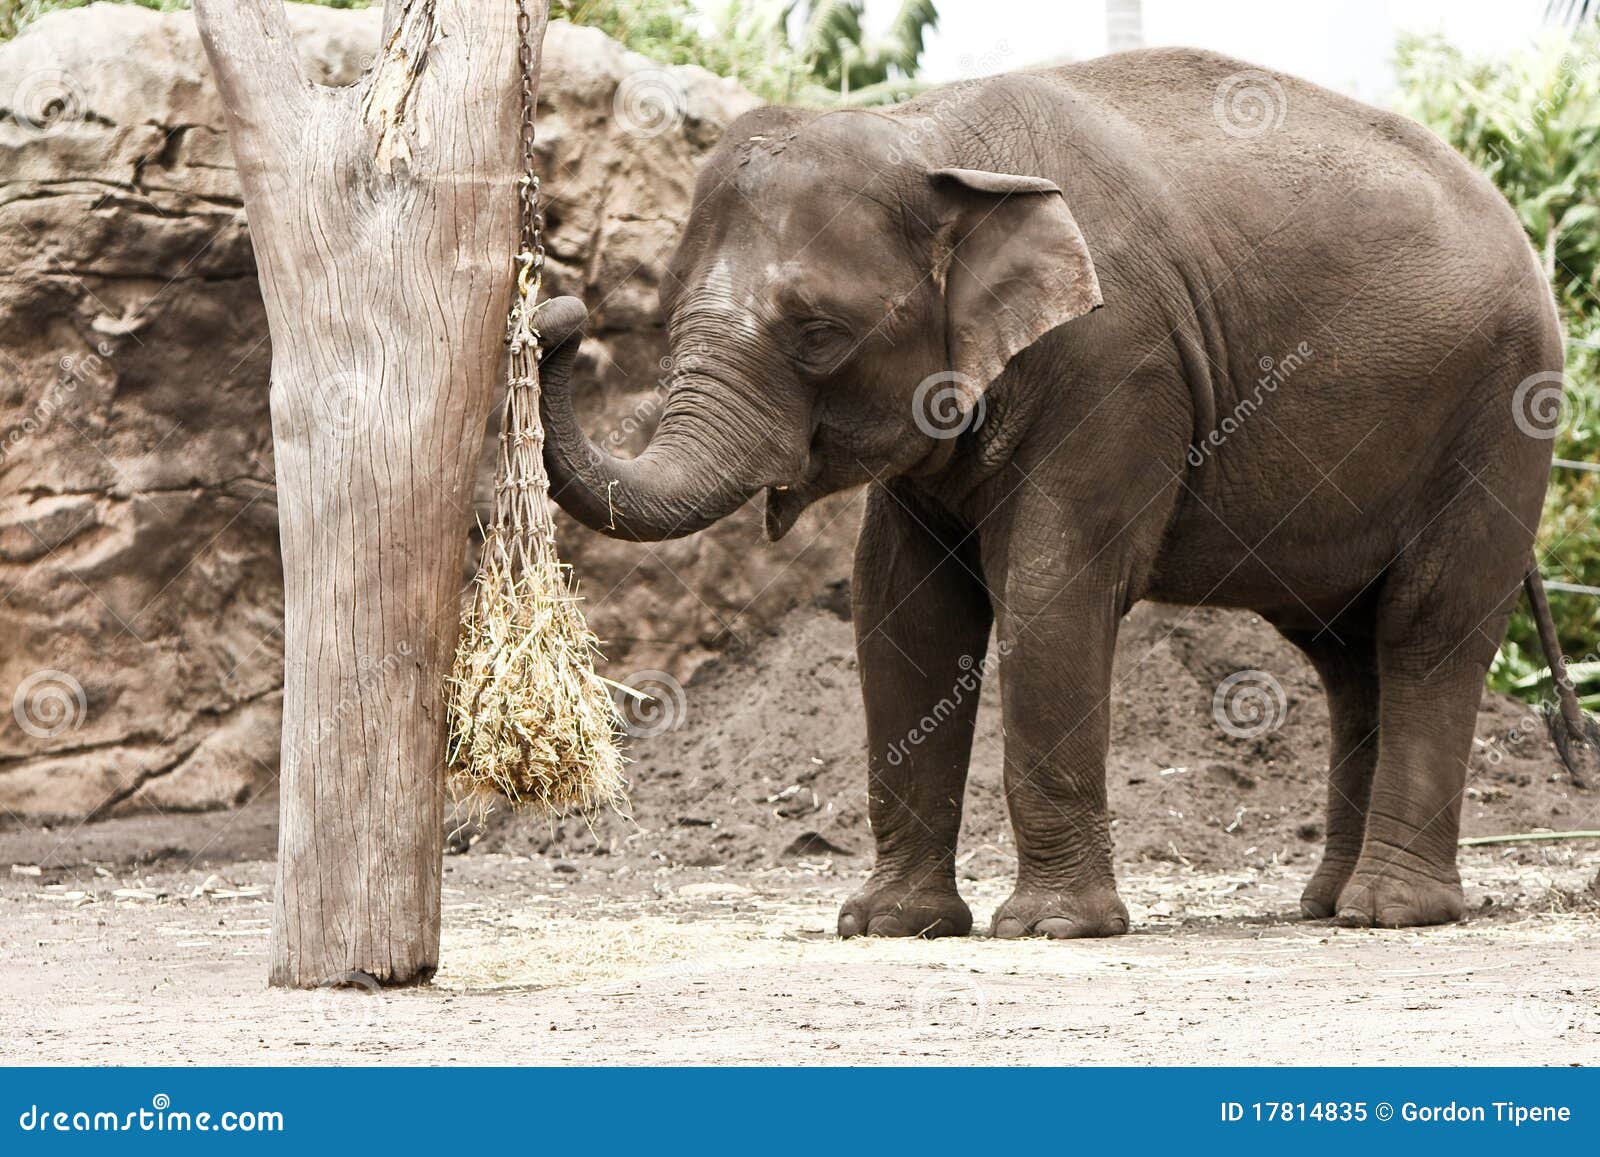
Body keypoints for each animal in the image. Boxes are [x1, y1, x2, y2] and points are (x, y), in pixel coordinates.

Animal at [534, 47, 1584, 938]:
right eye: (667, 311)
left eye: (820, 333)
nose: (556, 313)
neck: (932, 137)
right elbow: (901, 608)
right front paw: (887, 924)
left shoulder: (1118, 360)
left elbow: (1051, 587)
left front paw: (1050, 929)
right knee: (1346, 656)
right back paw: (1324, 904)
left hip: (1500, 415)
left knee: (1426, 628)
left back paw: (1389, 912)